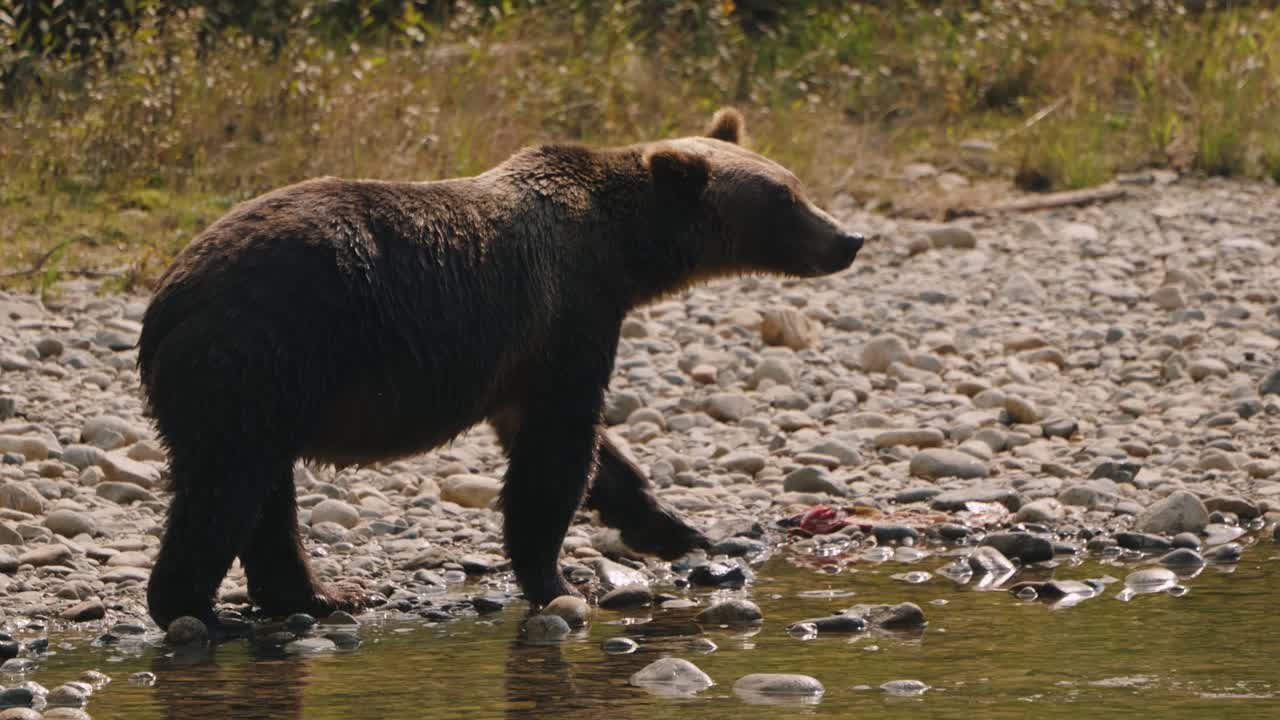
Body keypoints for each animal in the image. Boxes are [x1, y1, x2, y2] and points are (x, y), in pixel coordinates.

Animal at [137, 107, 864, 629]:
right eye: (786, 198)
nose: (850, 238)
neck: (624, 254)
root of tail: (165, 301)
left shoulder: (532, 354)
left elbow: (591, 456)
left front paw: (676, 529)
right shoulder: (566, 313)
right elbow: (558, 453)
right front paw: (558, 579)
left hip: (269, 384)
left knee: (263, 492)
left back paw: (319, 596)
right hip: (259, 354)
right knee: (225, 487)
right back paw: (197, 608)